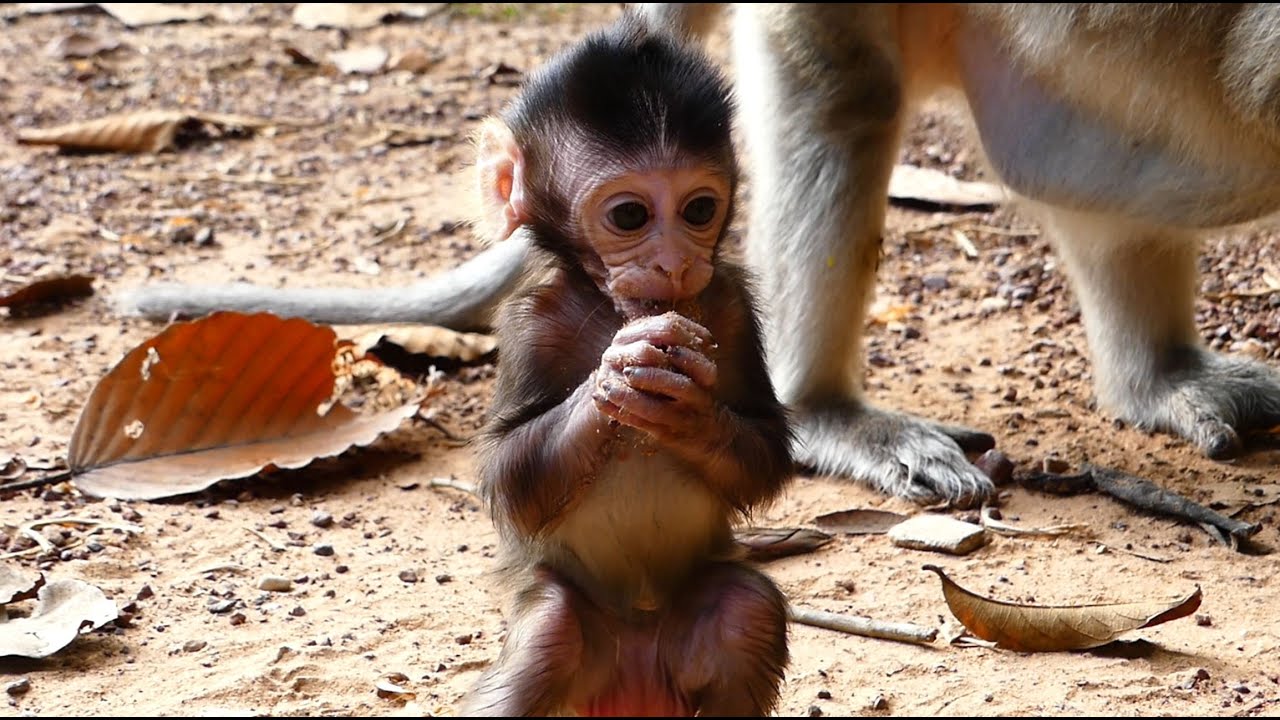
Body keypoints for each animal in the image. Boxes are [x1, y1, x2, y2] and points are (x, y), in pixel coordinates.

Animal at [115, 5, 1280, 508]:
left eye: (694, 210)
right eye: (629, 217)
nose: (668, 259)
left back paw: (1159, 375)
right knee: (843, 98)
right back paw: (828, 415)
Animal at [456, 14, 792, 717]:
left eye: (698, 209)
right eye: (631, 215)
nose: (674, 263)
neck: (609, 307)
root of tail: (636, 677)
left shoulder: (730, 307)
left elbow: (767, 447)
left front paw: (691, 414)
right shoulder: (531, 321)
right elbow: (507, 474)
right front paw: (612, 378)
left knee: (744, 610)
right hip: (583, 637)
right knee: (550, 632)